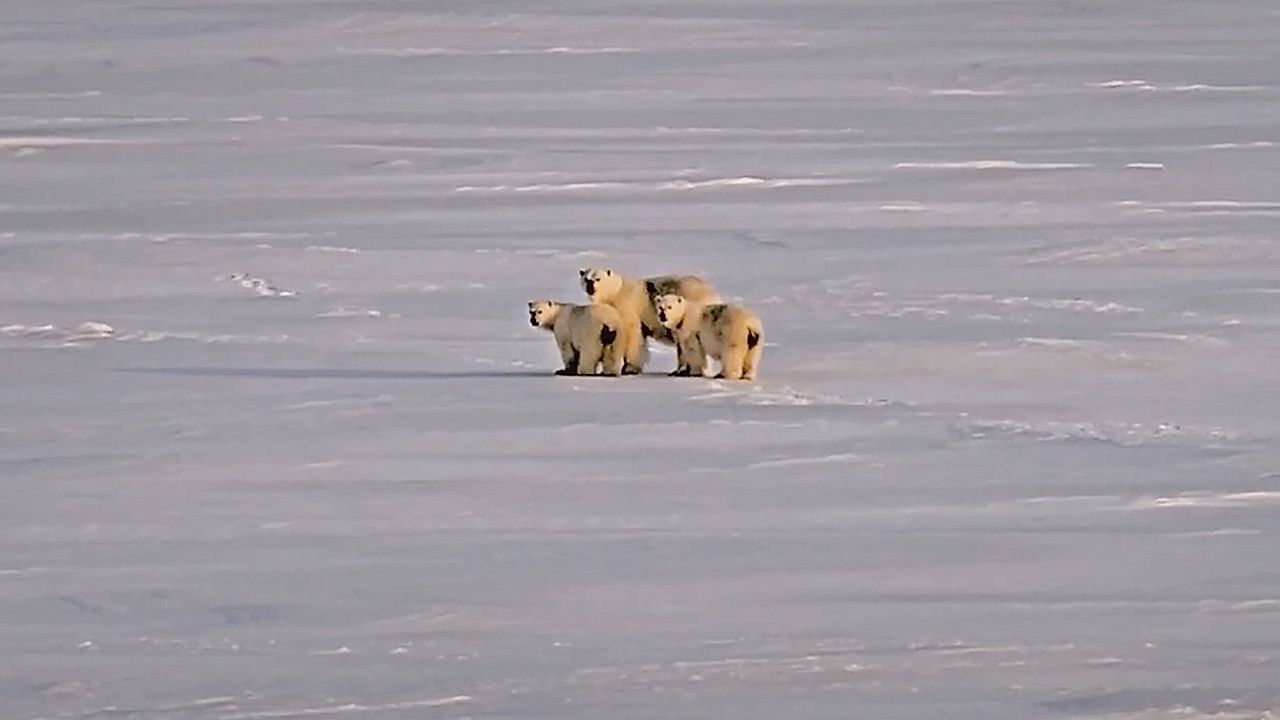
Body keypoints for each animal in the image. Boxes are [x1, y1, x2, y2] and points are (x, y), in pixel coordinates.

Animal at [578, 267, 719, 375]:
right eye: (586, 279)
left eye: (598, 279)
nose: (590, 288)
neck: (615, 293)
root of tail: (713, 295)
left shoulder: (628, 306)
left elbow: (632, 334)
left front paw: (629, 368)